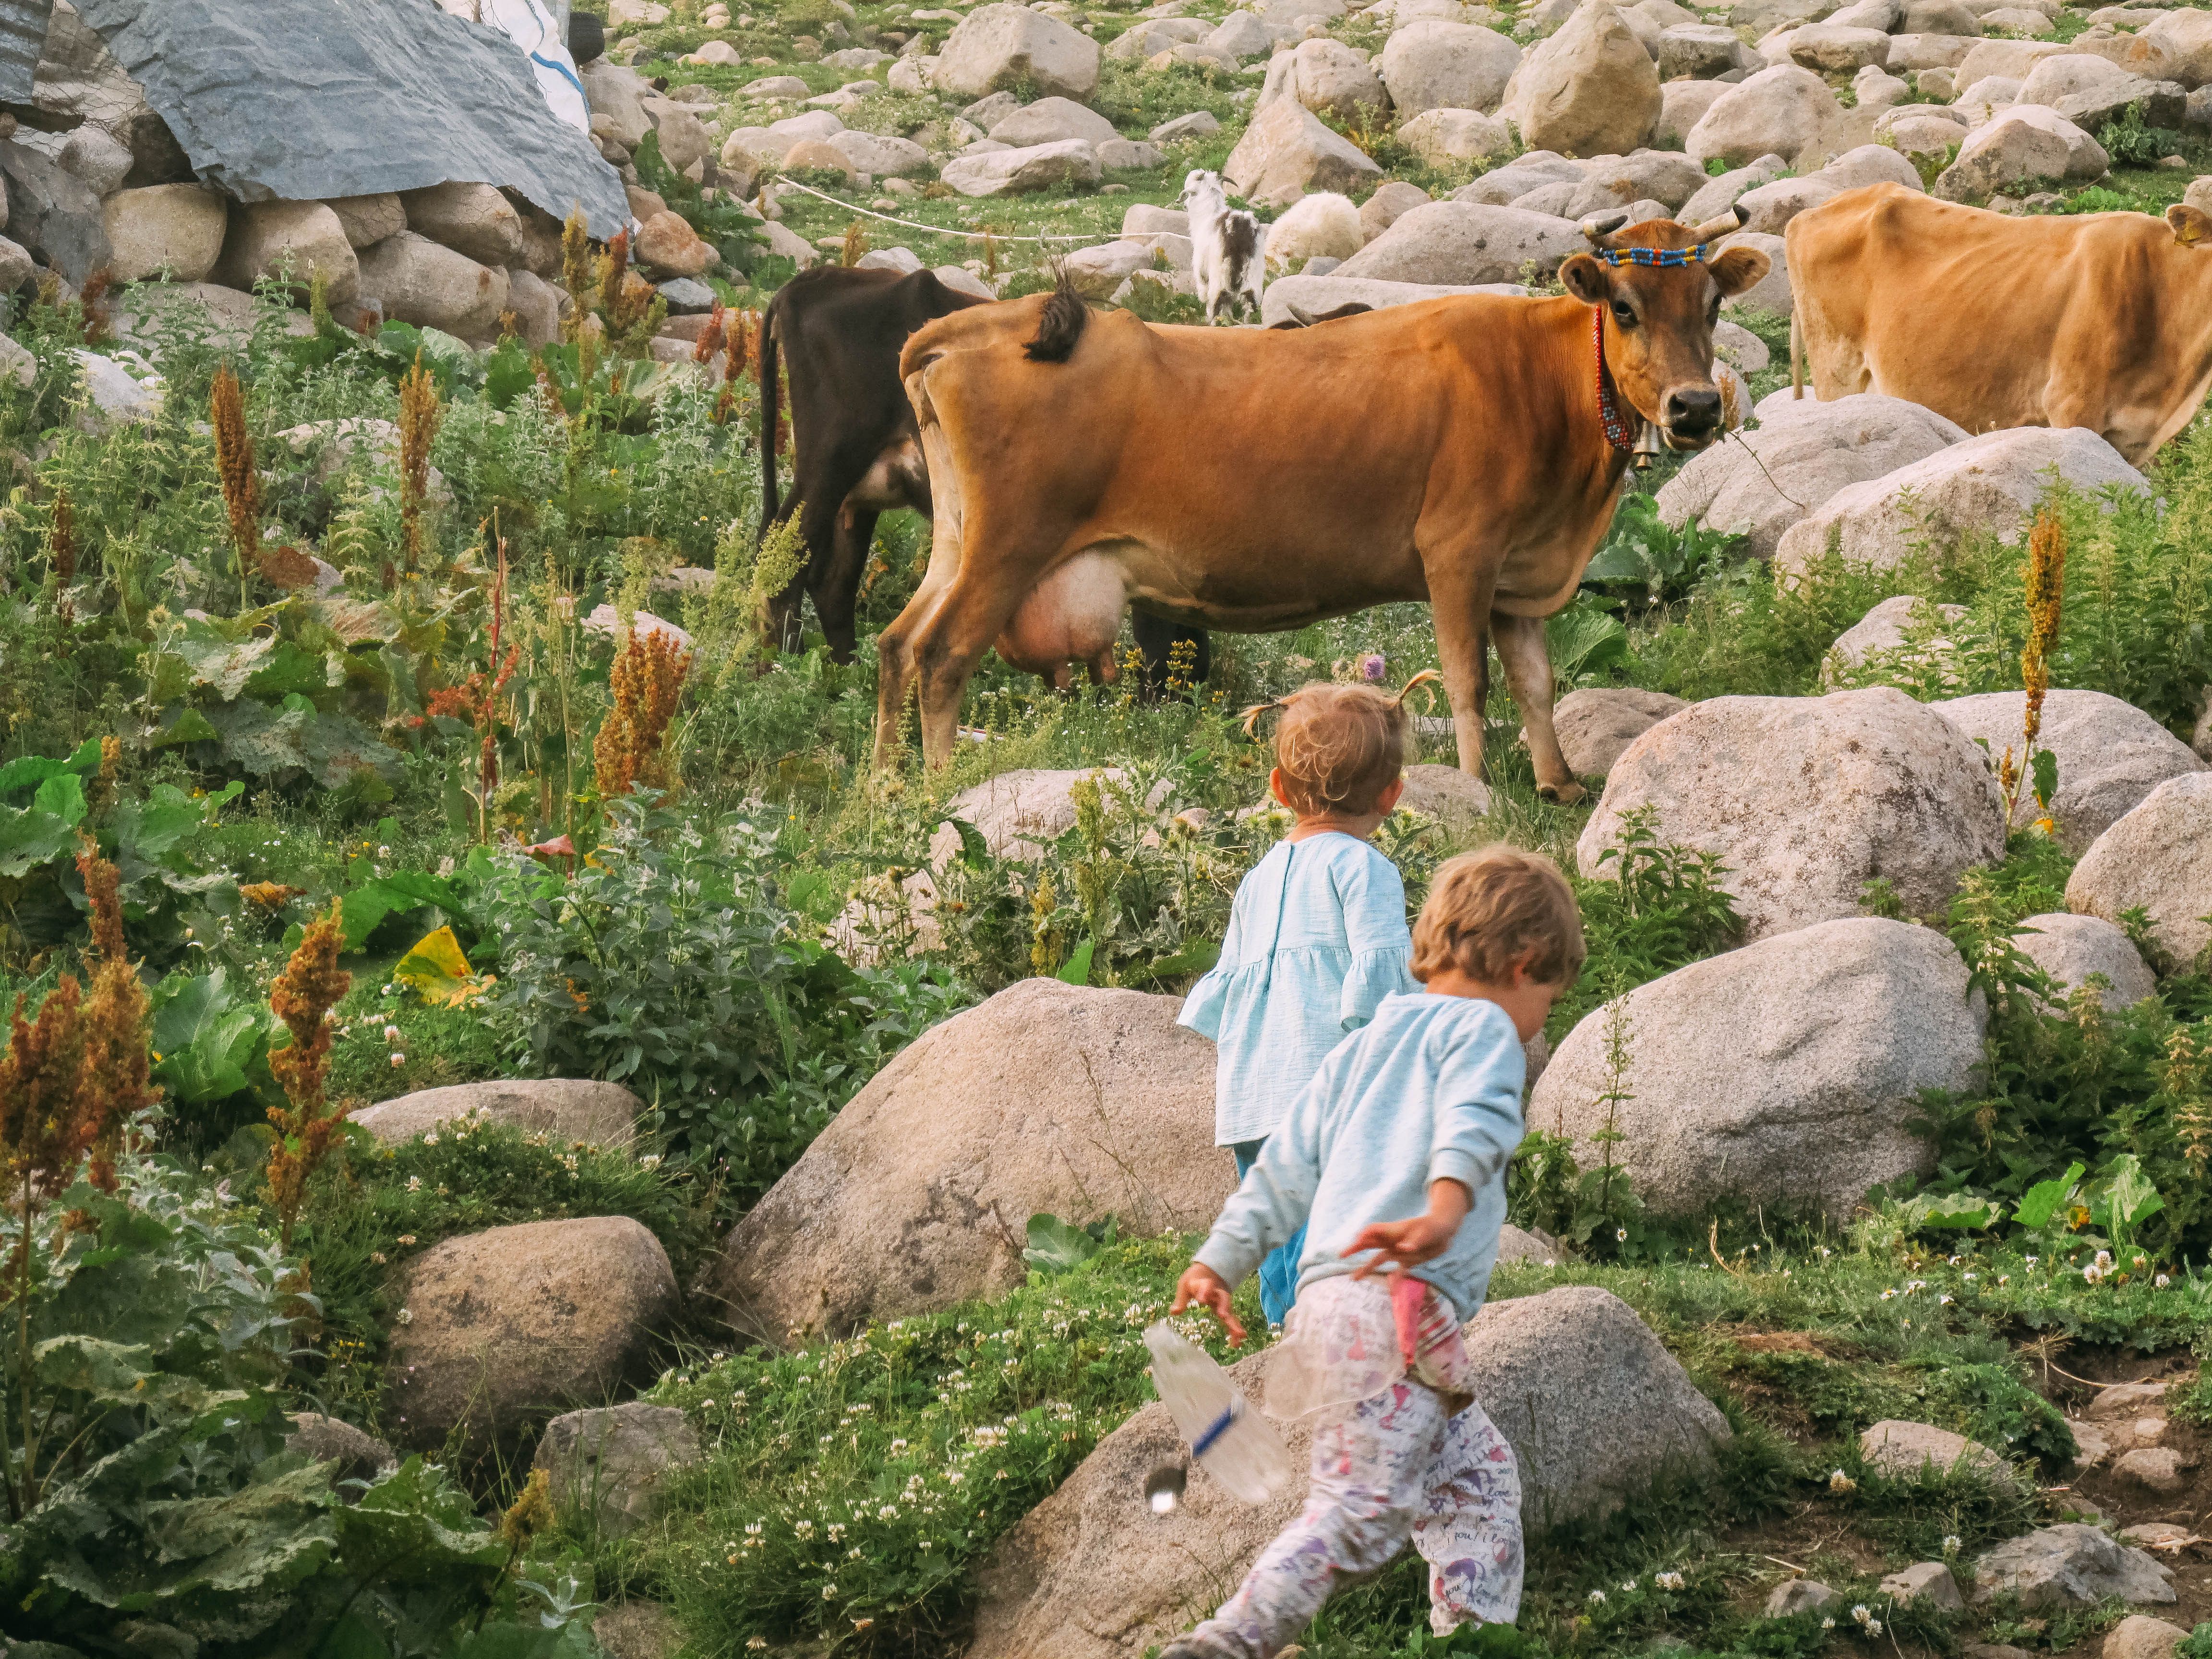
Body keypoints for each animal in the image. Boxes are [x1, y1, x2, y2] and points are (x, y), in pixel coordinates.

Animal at [759, 263, 1210, 694]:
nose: (1186, 689)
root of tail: (810, 281)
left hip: (860, 494)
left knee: (832, 582)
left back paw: (846, 673)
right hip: (829, 465)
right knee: (781, 559)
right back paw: (785, 667)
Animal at [876, 210, 1767, 797]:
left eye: (1712, 307)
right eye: (1624, 308)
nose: (1695, 406)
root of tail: (981, 323)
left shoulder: (1520, 573)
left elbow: (1536, 684)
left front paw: (1557, 786)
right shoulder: (1459, 551)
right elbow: (1468, 681)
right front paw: (1480, 790)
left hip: (958, 543)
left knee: (896, 644)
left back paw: (884, 792)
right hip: (1008, 545)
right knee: (942, 654)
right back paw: (939, 790)